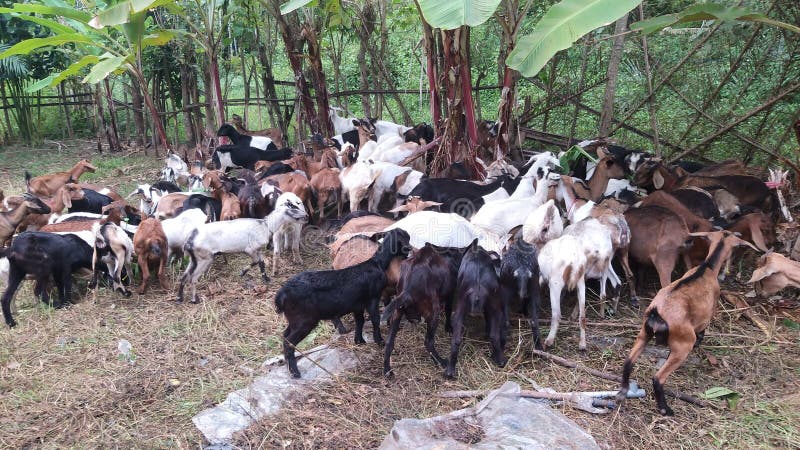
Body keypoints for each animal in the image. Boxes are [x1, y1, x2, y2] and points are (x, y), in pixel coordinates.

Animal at [178, 193, 308, 303]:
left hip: (194, 259)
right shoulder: (250, 249)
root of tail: (189, 241)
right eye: (292, 208)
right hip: (205, 258)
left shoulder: (258, 249)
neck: (266, 225)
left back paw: (180, 298)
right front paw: (242, 272)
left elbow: (261, 263)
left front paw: (266, 278)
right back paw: (194, 299)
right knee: (192, 278)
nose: (306, 216)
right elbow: (255, 262)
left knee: (184, 277)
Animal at [275, 229, 412, 378]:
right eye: (404, 239)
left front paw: (359, 341)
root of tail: (281, 294)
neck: (377, 263)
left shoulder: (358, 304)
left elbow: (360, 321)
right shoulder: (372, 298)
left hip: (294, 319)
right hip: (304, 320)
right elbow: (375, 319)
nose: (409, 250)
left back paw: (288, 365)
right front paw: (379, 341)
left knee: (285, 336)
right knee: (289, 342)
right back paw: (295, 371)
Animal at [444, 241, 505, 379]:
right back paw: (500, 360)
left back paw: (450, 371)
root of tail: (477, 287)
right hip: (495, 308)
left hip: (460, 309)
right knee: (494, 336)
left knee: (456, 340)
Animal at [617, 231, 758, 416]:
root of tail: (657, 314)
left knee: (628, 362)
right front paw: (700, 343)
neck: (707, 267)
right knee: (658, 377)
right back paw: (665, 409)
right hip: (683, 344)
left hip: (643, 333)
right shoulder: (707, 315)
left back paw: (622, 392)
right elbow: (703, 331)